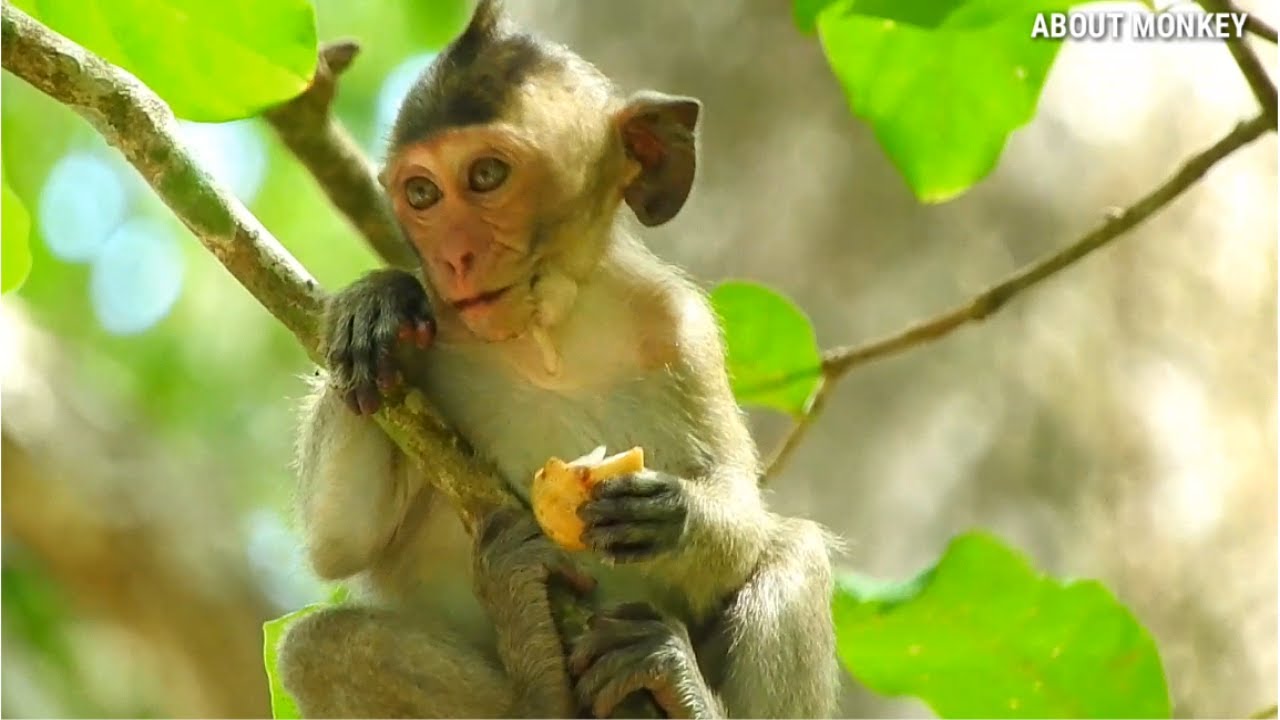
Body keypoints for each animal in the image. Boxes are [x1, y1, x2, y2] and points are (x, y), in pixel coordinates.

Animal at [276, 1, 840, 717]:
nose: (455, 257)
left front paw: (673, 512)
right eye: (422, 194)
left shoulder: (683, 331)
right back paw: (534, 685)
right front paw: (376, 307)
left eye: (486, 176)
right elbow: (340, 537)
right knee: (315, 647)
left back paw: (678, 686)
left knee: (797, 550)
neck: (546, 339)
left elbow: (739, 511)